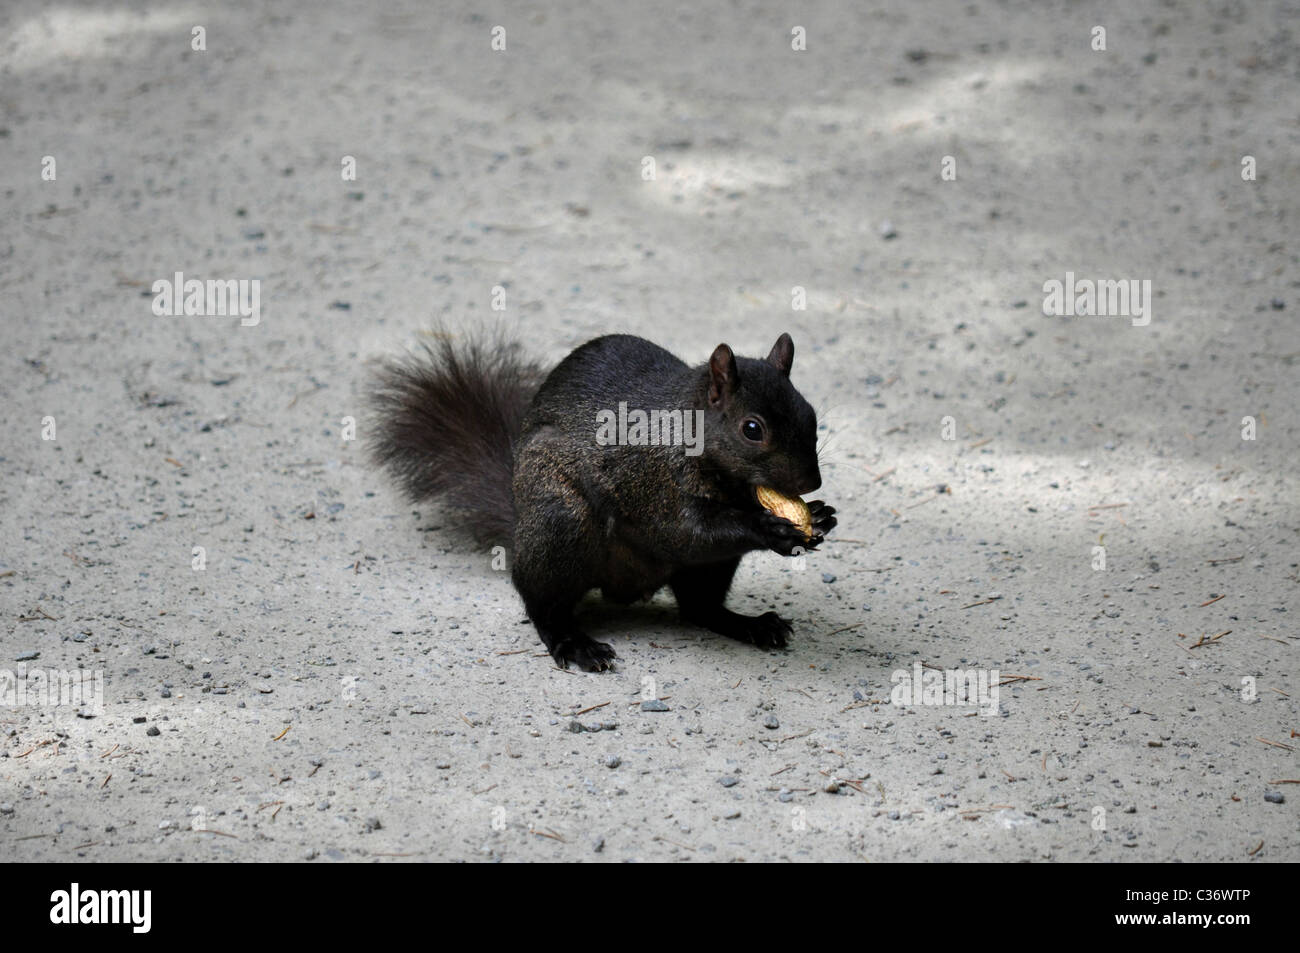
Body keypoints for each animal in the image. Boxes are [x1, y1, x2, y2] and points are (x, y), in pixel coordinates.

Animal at [368, 330, 835, 672]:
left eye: (811, 413)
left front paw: (819, 517)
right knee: (541, 602)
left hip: (708, 569)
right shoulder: (652, 486)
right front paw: (770, 528)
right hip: (560, 518)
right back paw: (574, 644)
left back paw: (751, 625)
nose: (811, 482)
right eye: (752, 429)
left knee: (699, 607)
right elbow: (688, 531)